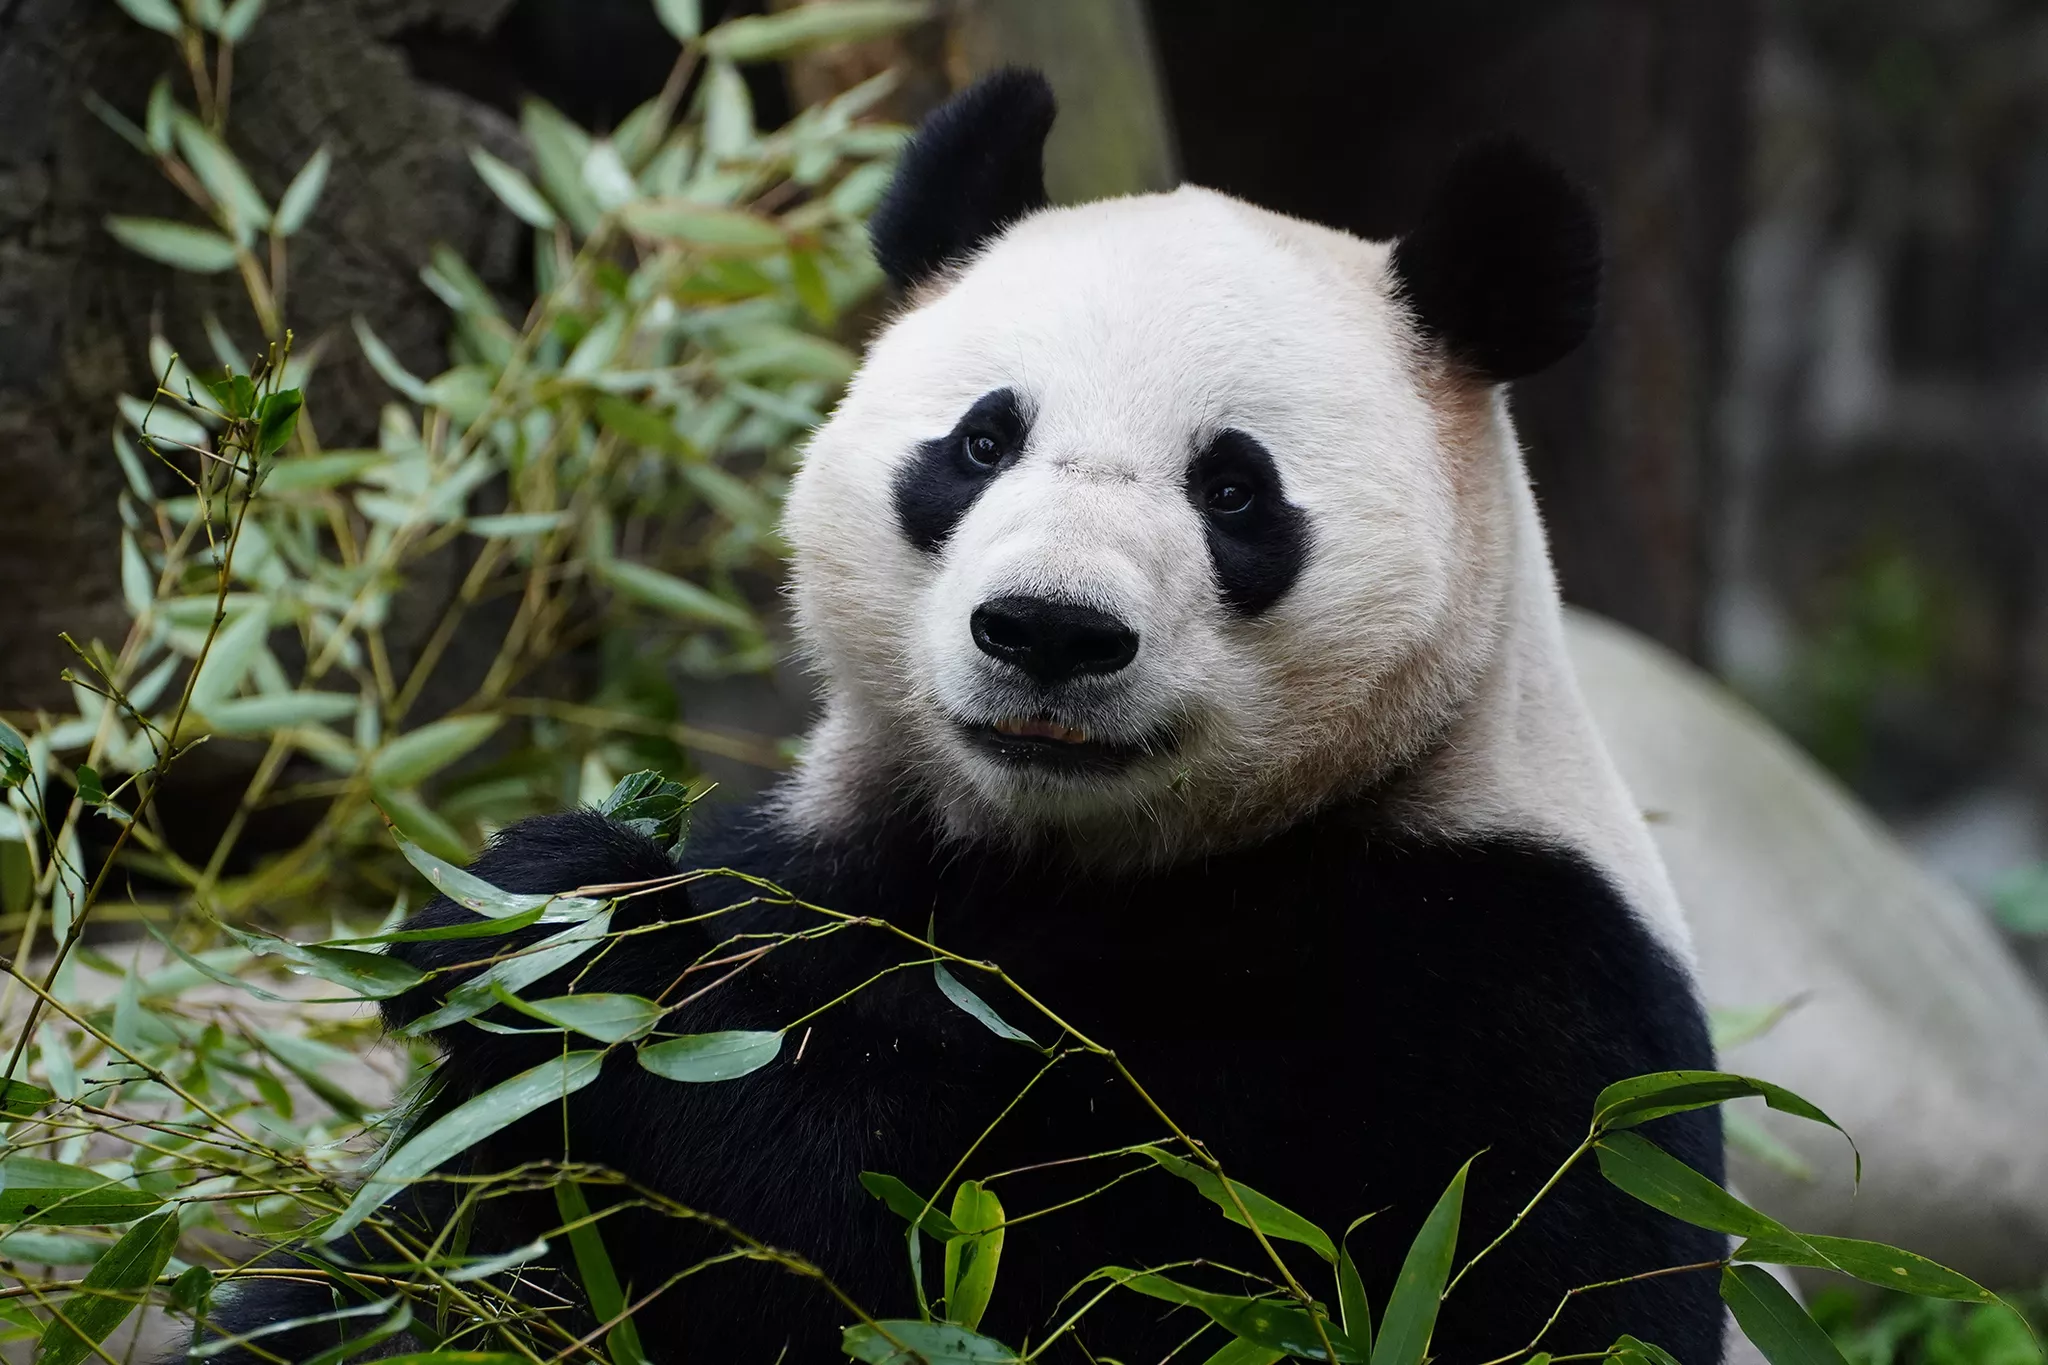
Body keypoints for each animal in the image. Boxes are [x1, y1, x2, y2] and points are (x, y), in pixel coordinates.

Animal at [207, 69, 1725, 1365]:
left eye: (1234, 490)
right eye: (984, 441)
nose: (1049, 629)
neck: (1072, 855)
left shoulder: (1494, 990)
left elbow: (955, 1249)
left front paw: (590, 936)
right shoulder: (831, 859)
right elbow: (448, 1234)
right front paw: (517, 917)